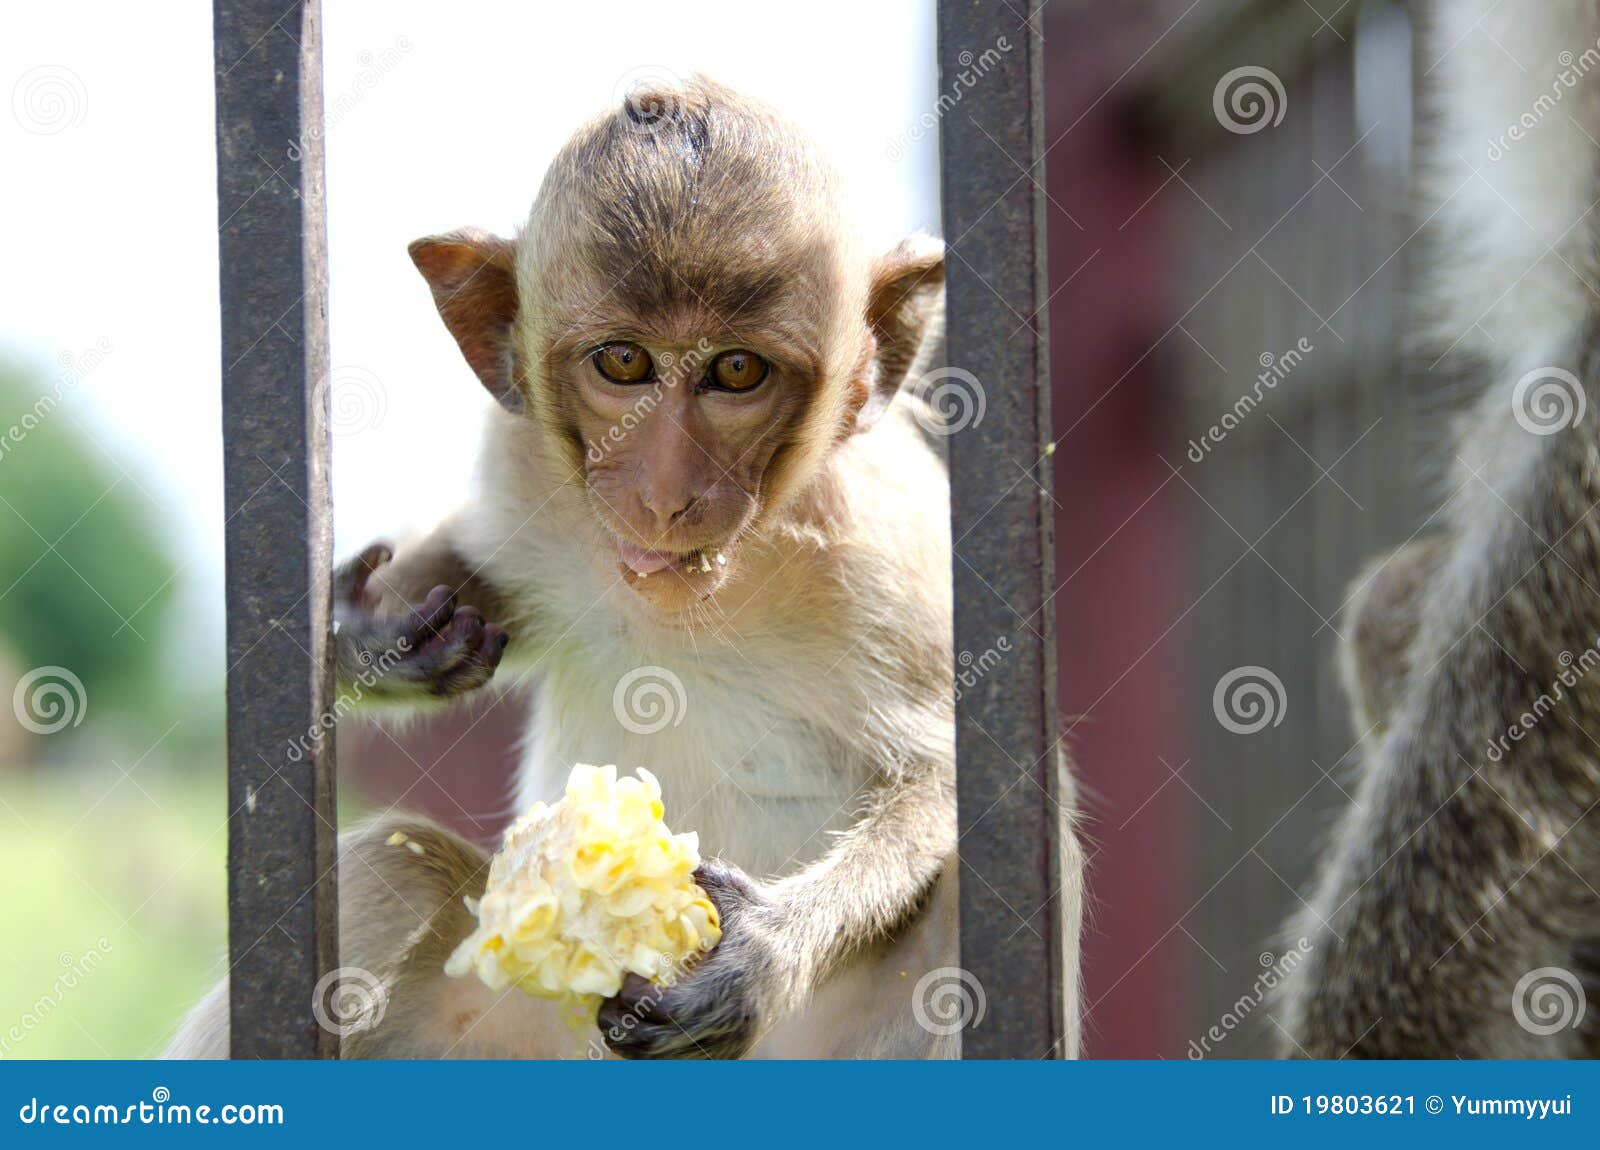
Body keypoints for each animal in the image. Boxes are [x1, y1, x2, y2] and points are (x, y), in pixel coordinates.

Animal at [167, 77, 1083, 1060]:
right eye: (624, 361)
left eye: (736, 371)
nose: (664, 491)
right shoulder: (523, 464)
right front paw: (376, 634)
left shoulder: (889, 544)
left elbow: (956, 774)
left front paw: (761, 955)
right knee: (392, 874)